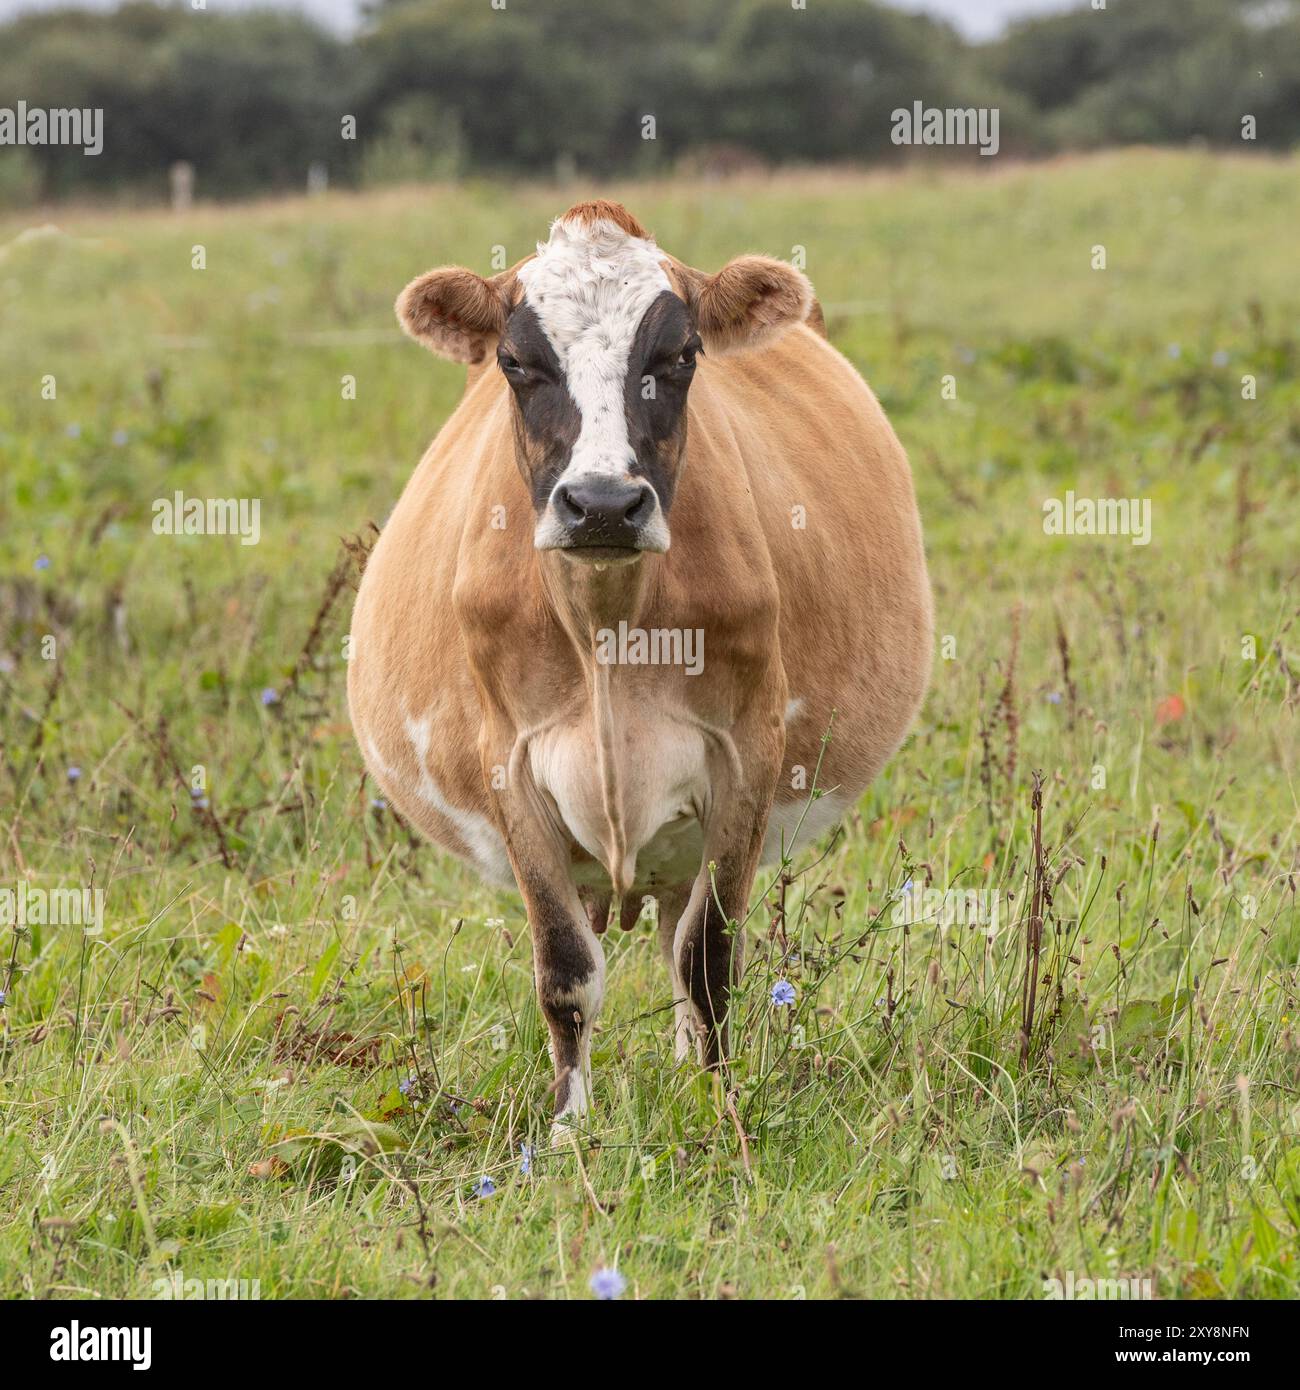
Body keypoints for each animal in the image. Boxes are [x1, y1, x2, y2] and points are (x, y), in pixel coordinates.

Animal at [347, 200, 932, 1138]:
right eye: (516, 361)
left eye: (680, 356)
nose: (602, 506)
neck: (607, 629)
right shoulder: (510, 767)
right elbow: (566, 973)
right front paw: (564, 1132)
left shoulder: (745, 760)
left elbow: (708, 962)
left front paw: (718, 1113)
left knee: (679, 943)